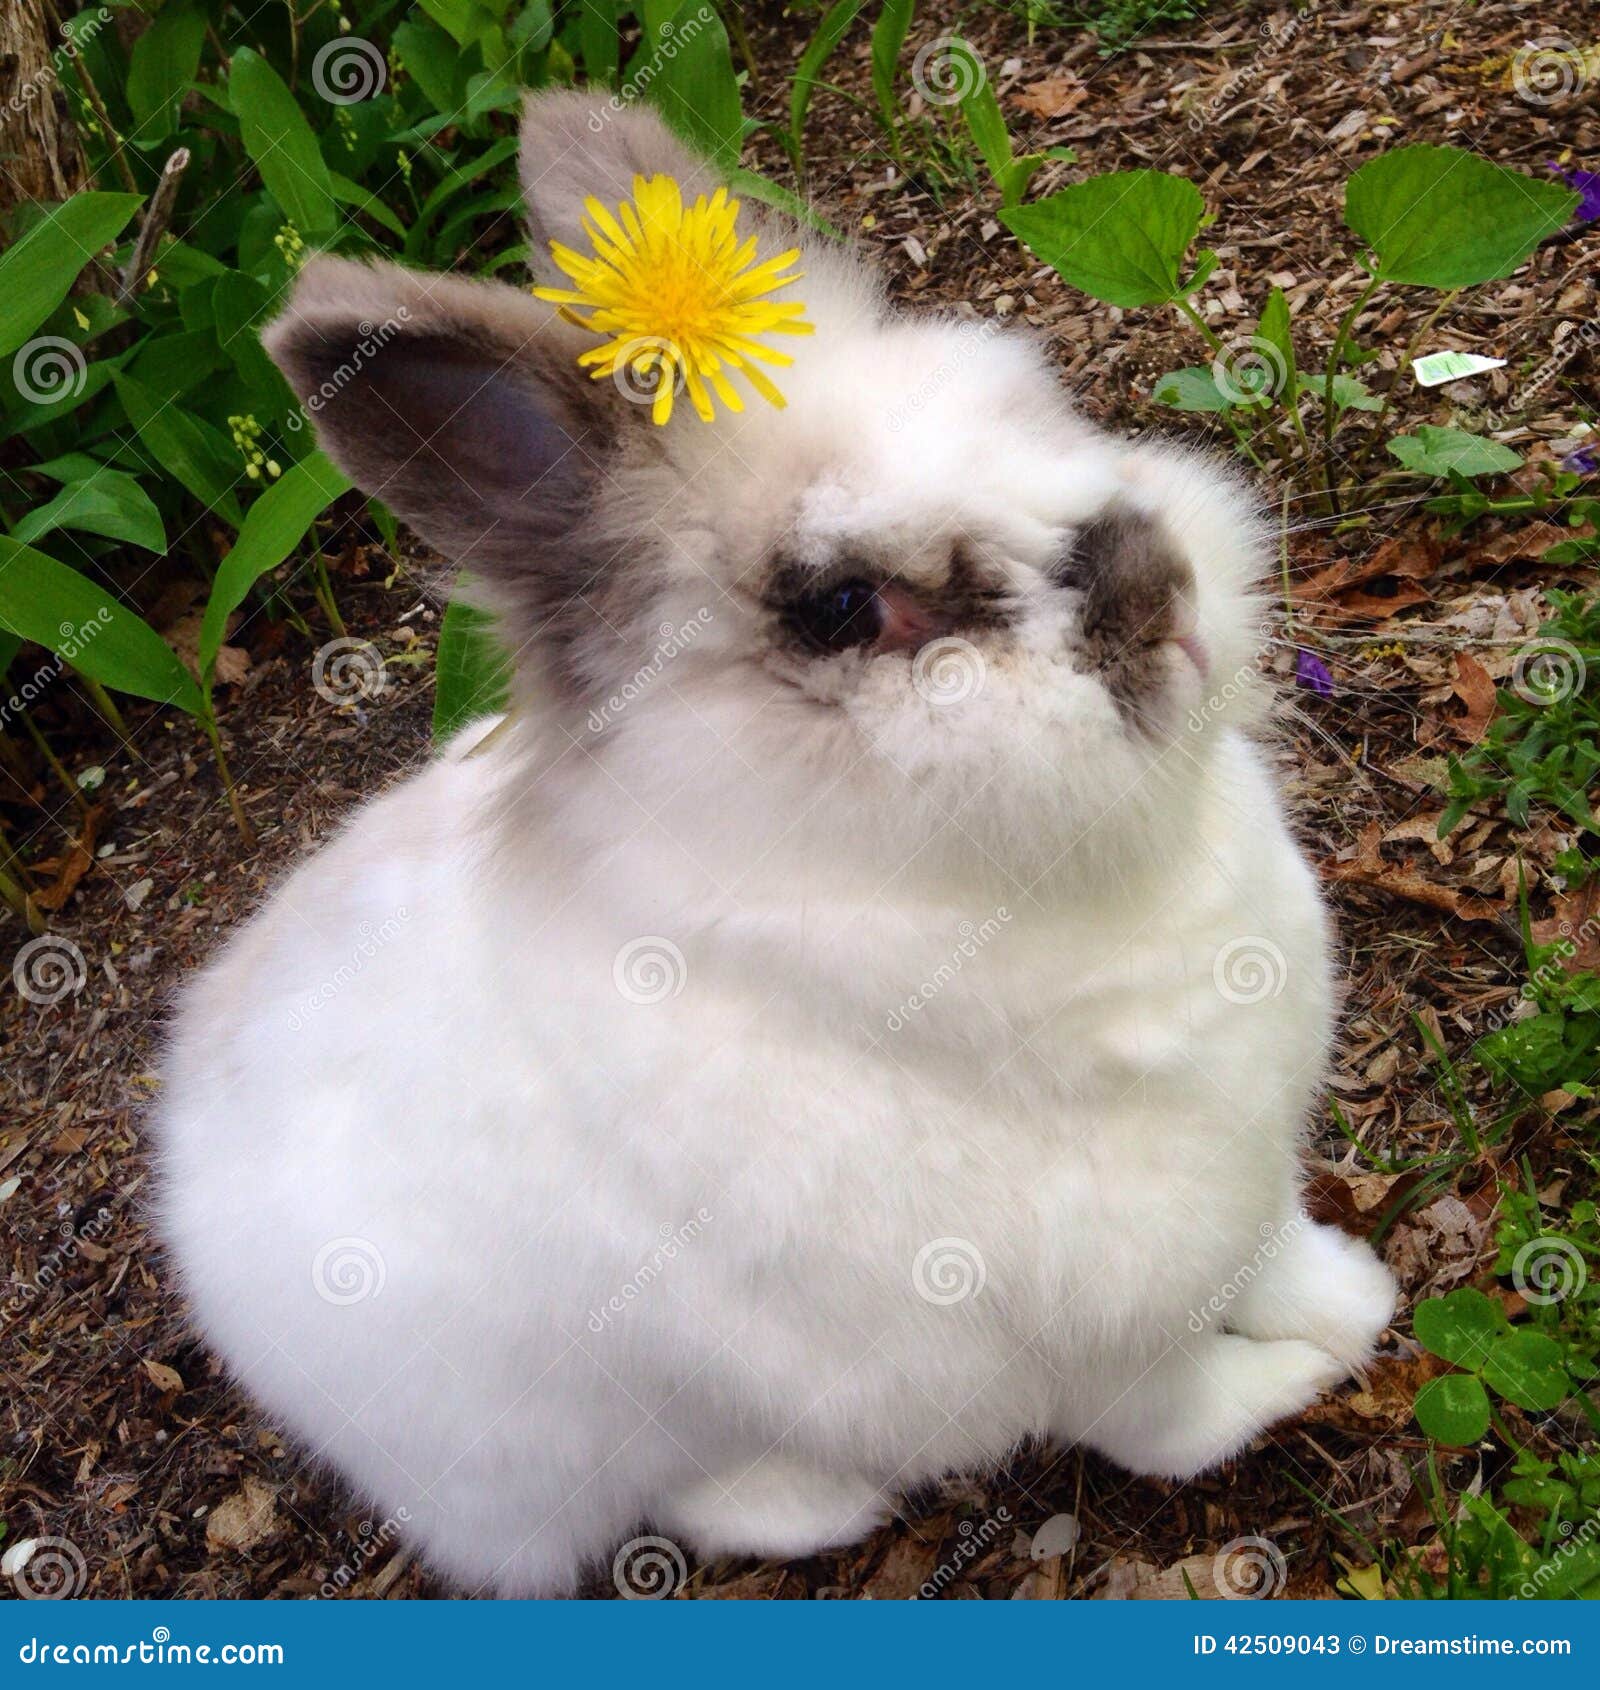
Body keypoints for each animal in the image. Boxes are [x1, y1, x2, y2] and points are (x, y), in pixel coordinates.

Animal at [153, 90, 1396, 1598]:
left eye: (1028, 407)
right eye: (841, 608)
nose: (1157, 597)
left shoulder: (1245, 1180)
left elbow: (1280, 1256)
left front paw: (1359, 1303)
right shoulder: (1088, 1333)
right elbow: (1173, 1423)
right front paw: (1290, 1382)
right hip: (579, 1444)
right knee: (683, 1498)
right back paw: (815, 1505)